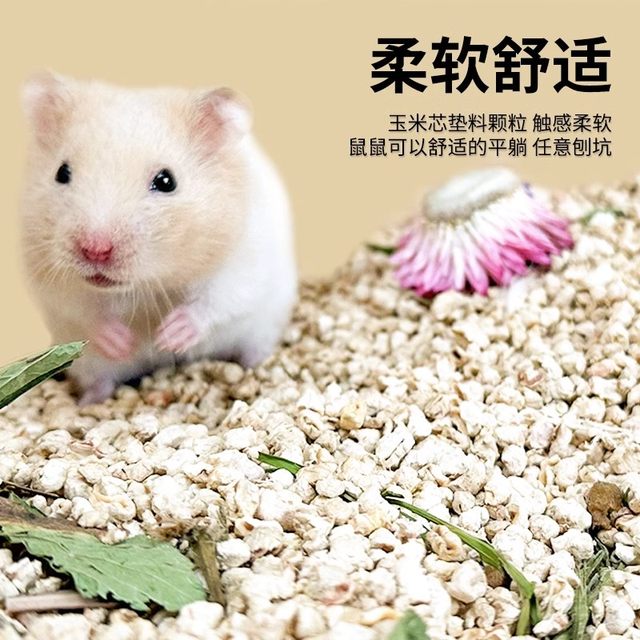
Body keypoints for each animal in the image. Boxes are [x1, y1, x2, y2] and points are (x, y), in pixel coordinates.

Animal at [20, 72, 297, 404]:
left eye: (166, 181)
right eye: (62, 173)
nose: (95, 250)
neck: (146, 285)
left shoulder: (245, 263)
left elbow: (217, 300)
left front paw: (168, 337)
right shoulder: (48, 277)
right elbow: (83, 308)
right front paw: (122, 341)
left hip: (263, 325)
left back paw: (257, 366)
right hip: (90, 365)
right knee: (99, 378)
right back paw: (90, 400)